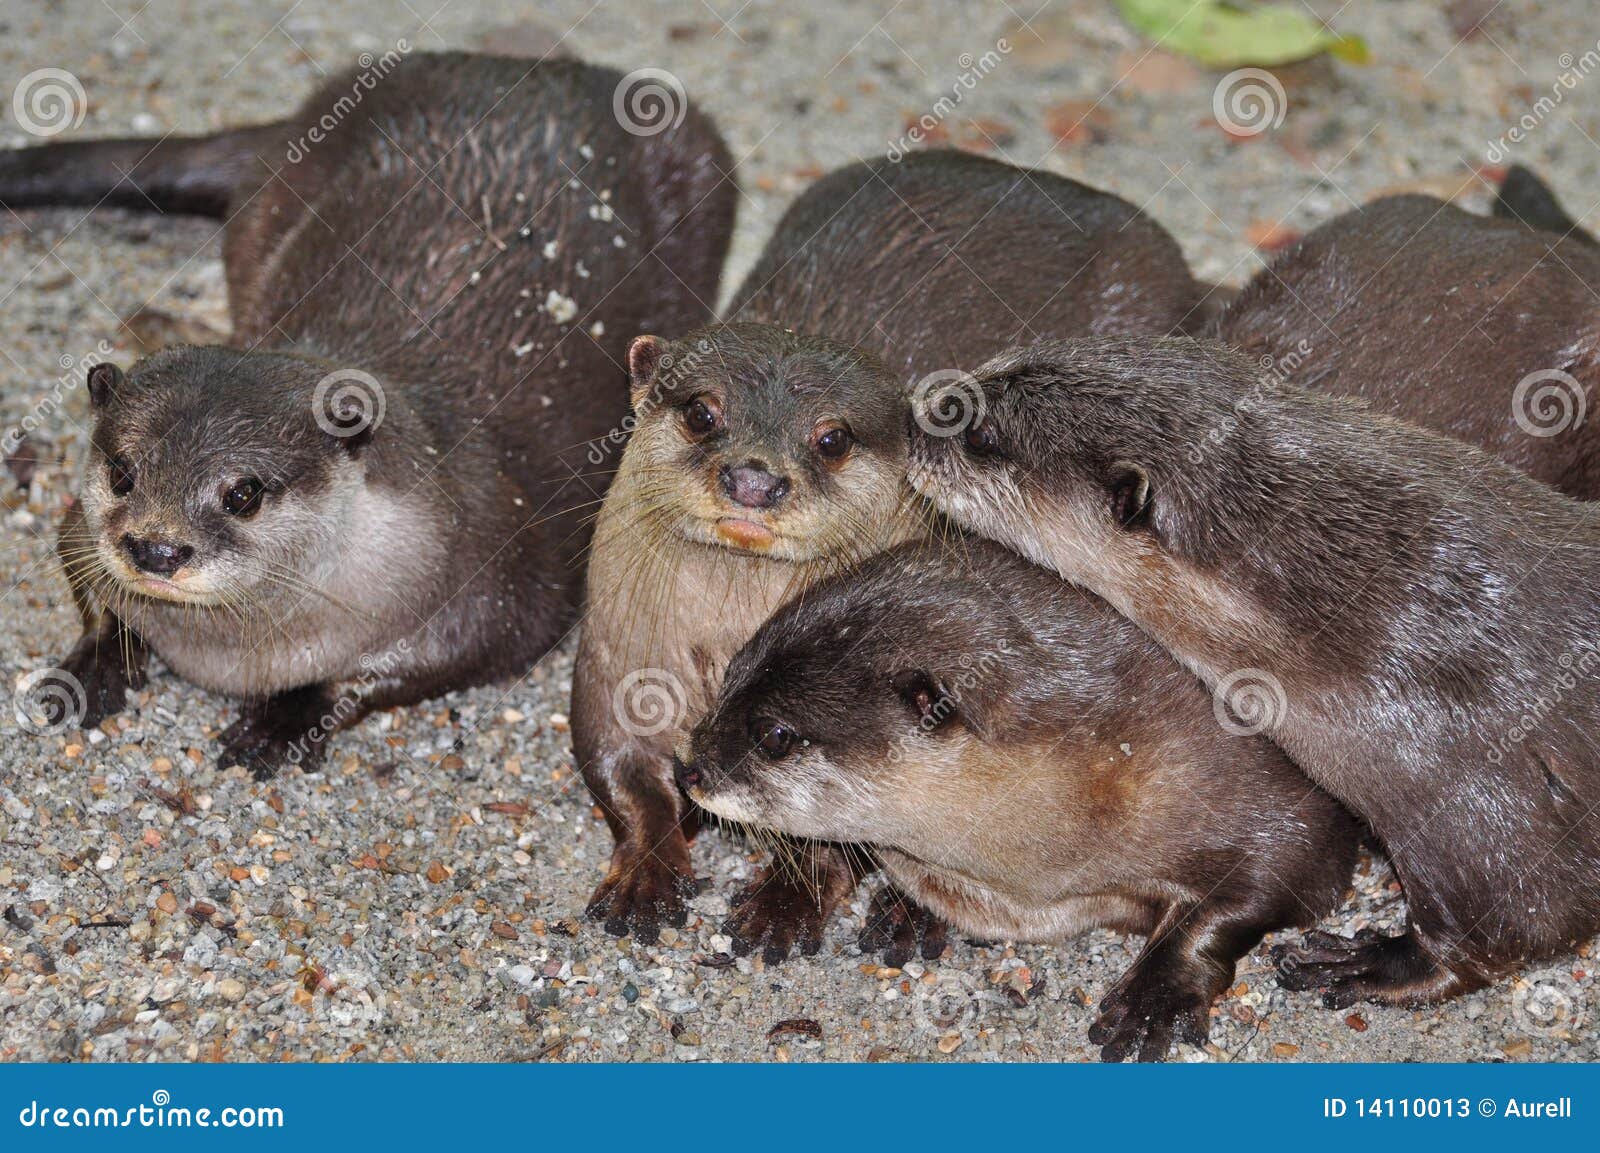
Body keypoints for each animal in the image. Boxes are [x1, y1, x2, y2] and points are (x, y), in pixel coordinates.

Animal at [4, 53, 735, 774]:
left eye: (242, 493)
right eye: (122, 473)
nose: (156, 548)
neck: (229, 657)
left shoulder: (496, 588)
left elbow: (407, 667)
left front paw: (288, 716)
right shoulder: (81, 527)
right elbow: (87, 575)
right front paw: (95, 663)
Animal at [572, 148, 1212, 951]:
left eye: (832, 438)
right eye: (700, 412)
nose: (753, 479)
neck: (718, 636)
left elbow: (841, 821)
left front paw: (786, 901)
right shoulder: (616, 654)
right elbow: (622, 771)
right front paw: (646, 874)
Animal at [678, 540, 1359, 1061]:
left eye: (773, 734)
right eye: (727, 678)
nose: (690, 770)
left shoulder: (1271, 798)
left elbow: (1256, 888)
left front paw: (1153, 1001)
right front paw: (785, 901)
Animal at [906, 336, 1600, 1009]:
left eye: (981, 435)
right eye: (984, 366)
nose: (913, 417)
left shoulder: (1477, 784)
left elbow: (1515, 919)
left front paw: (1367, 964)